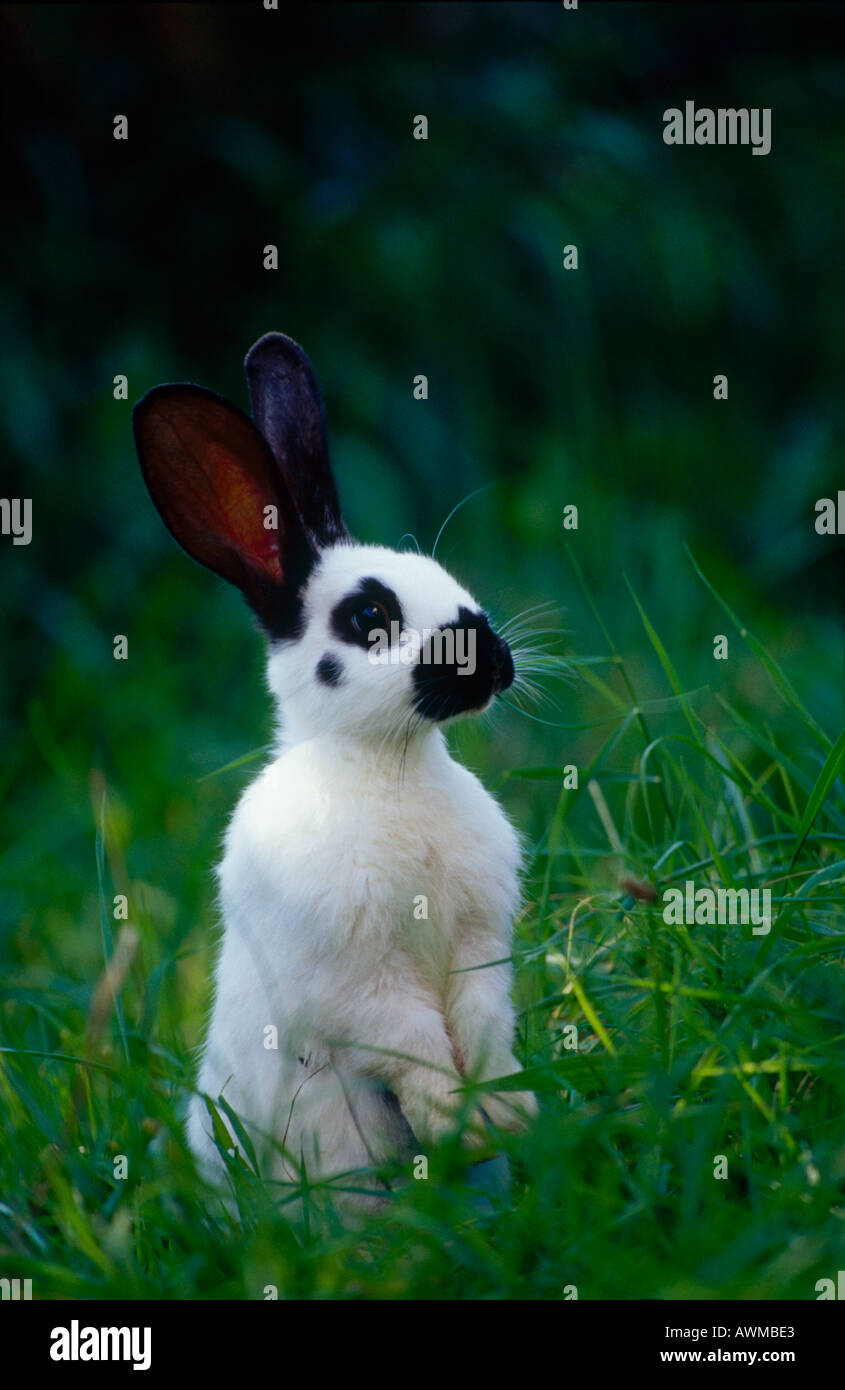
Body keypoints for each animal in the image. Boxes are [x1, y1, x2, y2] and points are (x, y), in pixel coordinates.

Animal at [133, 331, 538, 1208]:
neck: (390, 765)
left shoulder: (478, 941)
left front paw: (505, 1111)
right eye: (369, 617)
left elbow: (483, 1022)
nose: (493, 661)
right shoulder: (354, 979)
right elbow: (409, 1044)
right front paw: (459, 1122)